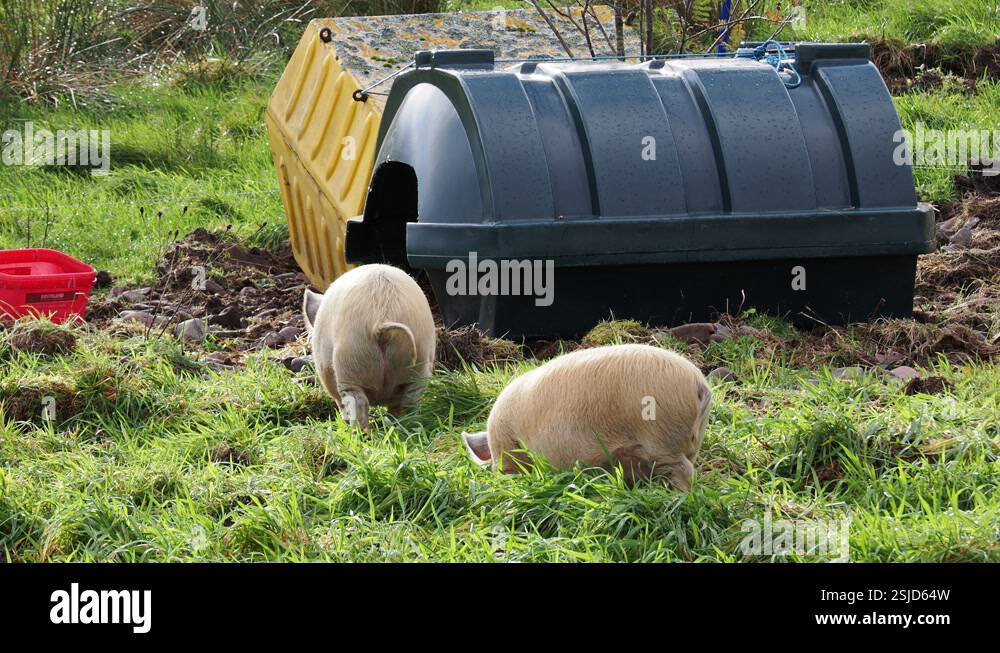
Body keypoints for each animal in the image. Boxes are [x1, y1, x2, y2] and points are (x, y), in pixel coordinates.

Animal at [302, 264, 436, 430]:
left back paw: (357, 431)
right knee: (408, 401)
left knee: (357, 402)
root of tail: (381, 319)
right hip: (418, 364)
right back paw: (403, 425)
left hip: (350, 360)